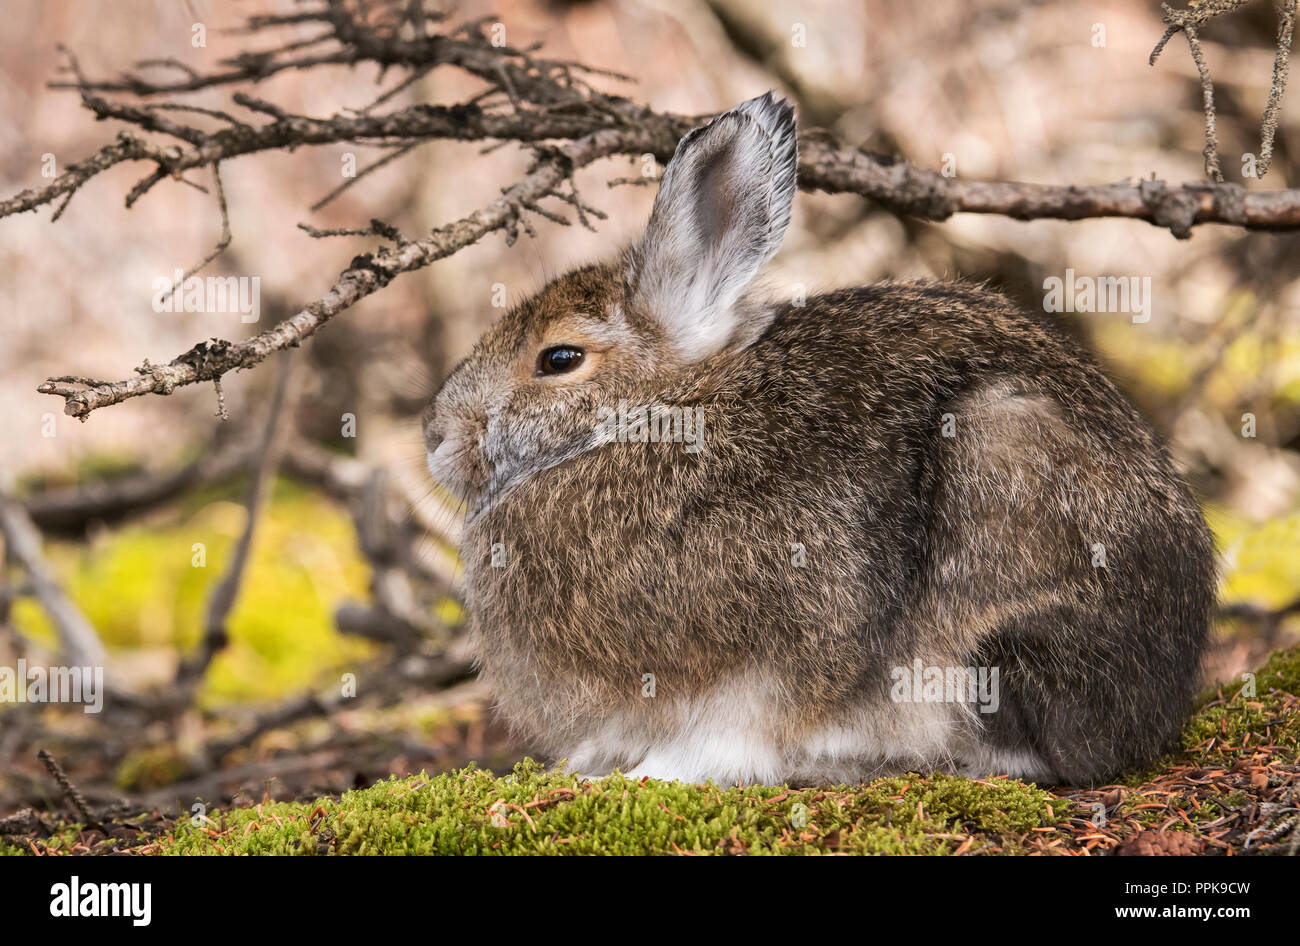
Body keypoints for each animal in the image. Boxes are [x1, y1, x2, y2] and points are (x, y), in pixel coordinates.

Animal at [422, 92, 1216, 787]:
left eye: (558, 359)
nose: (435, 437)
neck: (659, 413)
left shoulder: (768, 659)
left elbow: (727, 736)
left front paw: (650, 775)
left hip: (1001, 513)